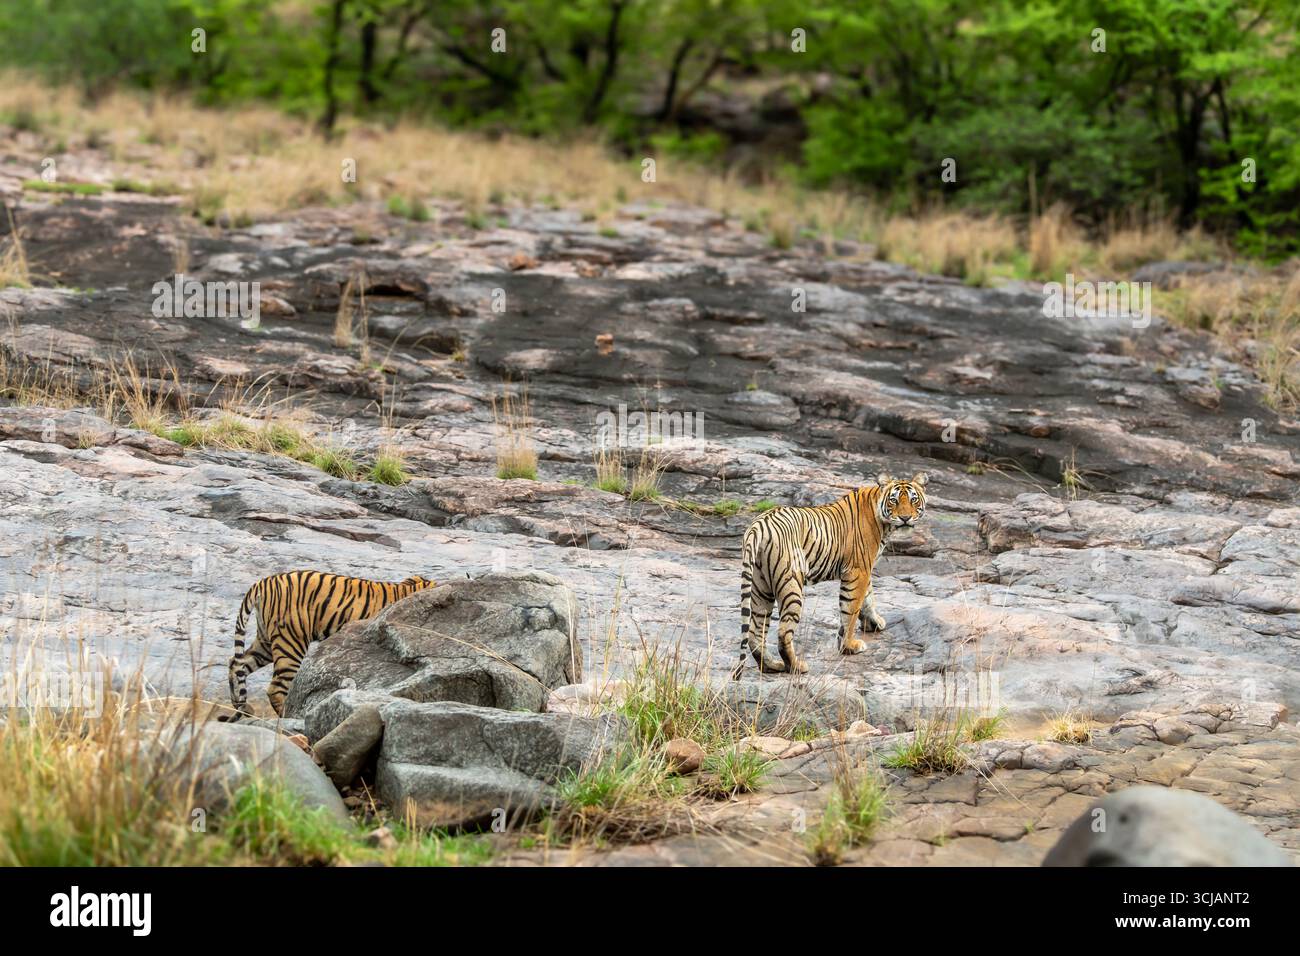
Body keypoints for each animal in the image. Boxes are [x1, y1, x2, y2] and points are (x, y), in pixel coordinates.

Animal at [219, 571, 437, 721]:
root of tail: (262, 583)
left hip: (266, 641)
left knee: (236, 663)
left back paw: (240, 706)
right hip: (291, 642)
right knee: (275, 687)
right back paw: (289, 717)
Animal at [733, 473, 928, 679]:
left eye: (913, 500)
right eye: (894, 500)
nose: (905, 518)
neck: (883, 522)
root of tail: (758, 526)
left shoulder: (864, 569)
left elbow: (868, 598)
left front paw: (874, 622)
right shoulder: (858, 569)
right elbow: (851, 609)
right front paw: (849, 646)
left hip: (760, 587)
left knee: (754, 632)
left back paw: (771, 666)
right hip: (790, 584)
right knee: (783, 632)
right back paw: (797, 666)